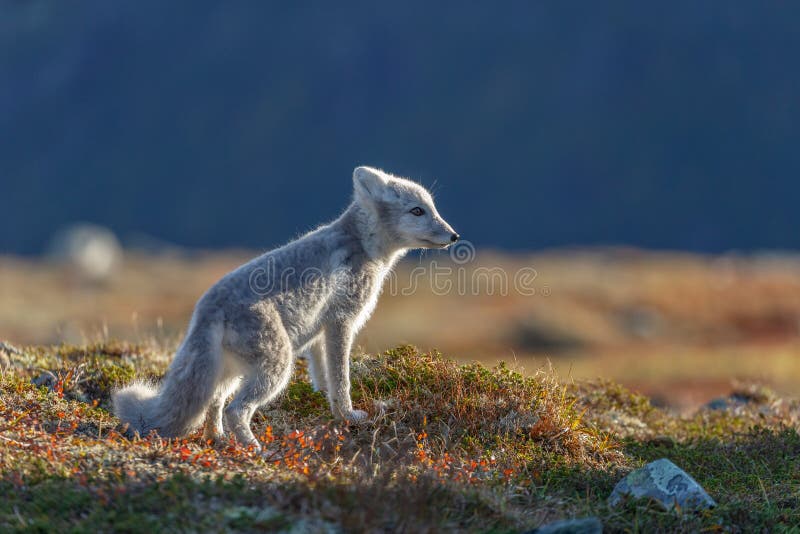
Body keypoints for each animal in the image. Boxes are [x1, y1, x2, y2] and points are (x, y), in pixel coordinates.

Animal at [113, 166, 459, 449]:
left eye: (432, 208)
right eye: (417, 211)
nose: (455, 235)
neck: (361, 243)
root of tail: (207, 307)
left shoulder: (319, 334)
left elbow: (324, 380)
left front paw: (334, 413)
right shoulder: (341, 322)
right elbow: (341, 379)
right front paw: (349, 416)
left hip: (233, 372)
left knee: (215, 404)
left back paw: (218, 439)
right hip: (277, 367)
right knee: (236, 409)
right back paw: (254, 449)